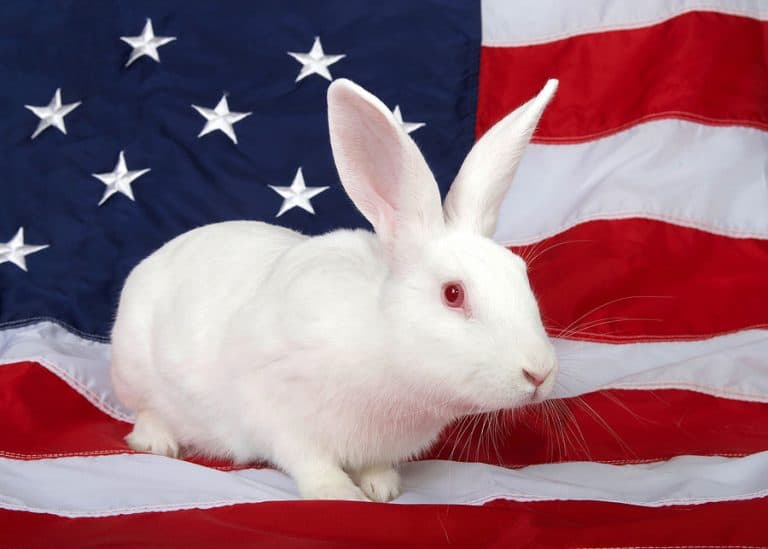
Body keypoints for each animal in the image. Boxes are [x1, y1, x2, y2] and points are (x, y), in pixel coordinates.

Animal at [110, 77, 560, 502]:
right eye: (453, 293)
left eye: (521, 274)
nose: (539, 373)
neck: (384, 338)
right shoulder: (281, 414)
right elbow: (310, 461)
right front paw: (338, 493)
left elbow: (375, 466)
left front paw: (383, 488)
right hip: (135, 368)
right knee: (147, 411)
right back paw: (159, 443)